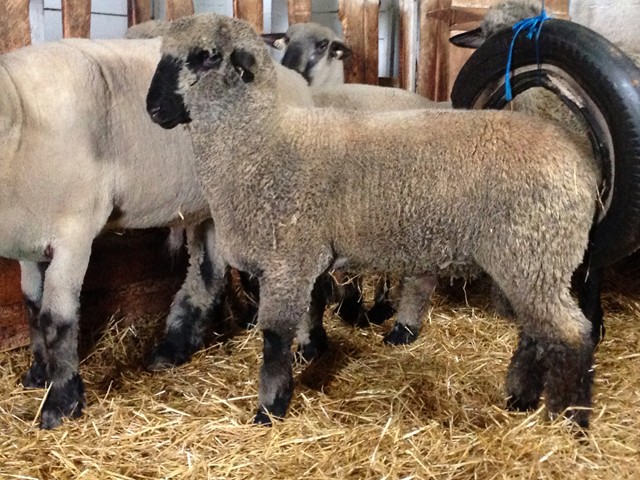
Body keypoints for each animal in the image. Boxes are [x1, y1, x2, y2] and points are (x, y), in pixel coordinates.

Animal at [0, 32, 314, 429]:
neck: (20, 111)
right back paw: (174, 348)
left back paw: (308, 347)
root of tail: (296, 80)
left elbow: (56, 320)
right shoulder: (28, 242)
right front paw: (38, 374)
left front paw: (61, 402)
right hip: (211, 204)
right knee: (208, 271)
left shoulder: (75, 229)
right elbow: (31, 309)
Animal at [146, 13, 600, 428]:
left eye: (206, 56)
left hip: (534, 253)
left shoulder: (288, 259)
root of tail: (579, 163)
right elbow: (312, 308)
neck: (261, 140)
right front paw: (311, 350)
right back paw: (521, 398)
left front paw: (269, 408)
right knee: (536, 330)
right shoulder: (306, 256)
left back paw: (569, 420)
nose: (153, 109)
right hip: (530, 261)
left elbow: (274, 338)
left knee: (571, 333)